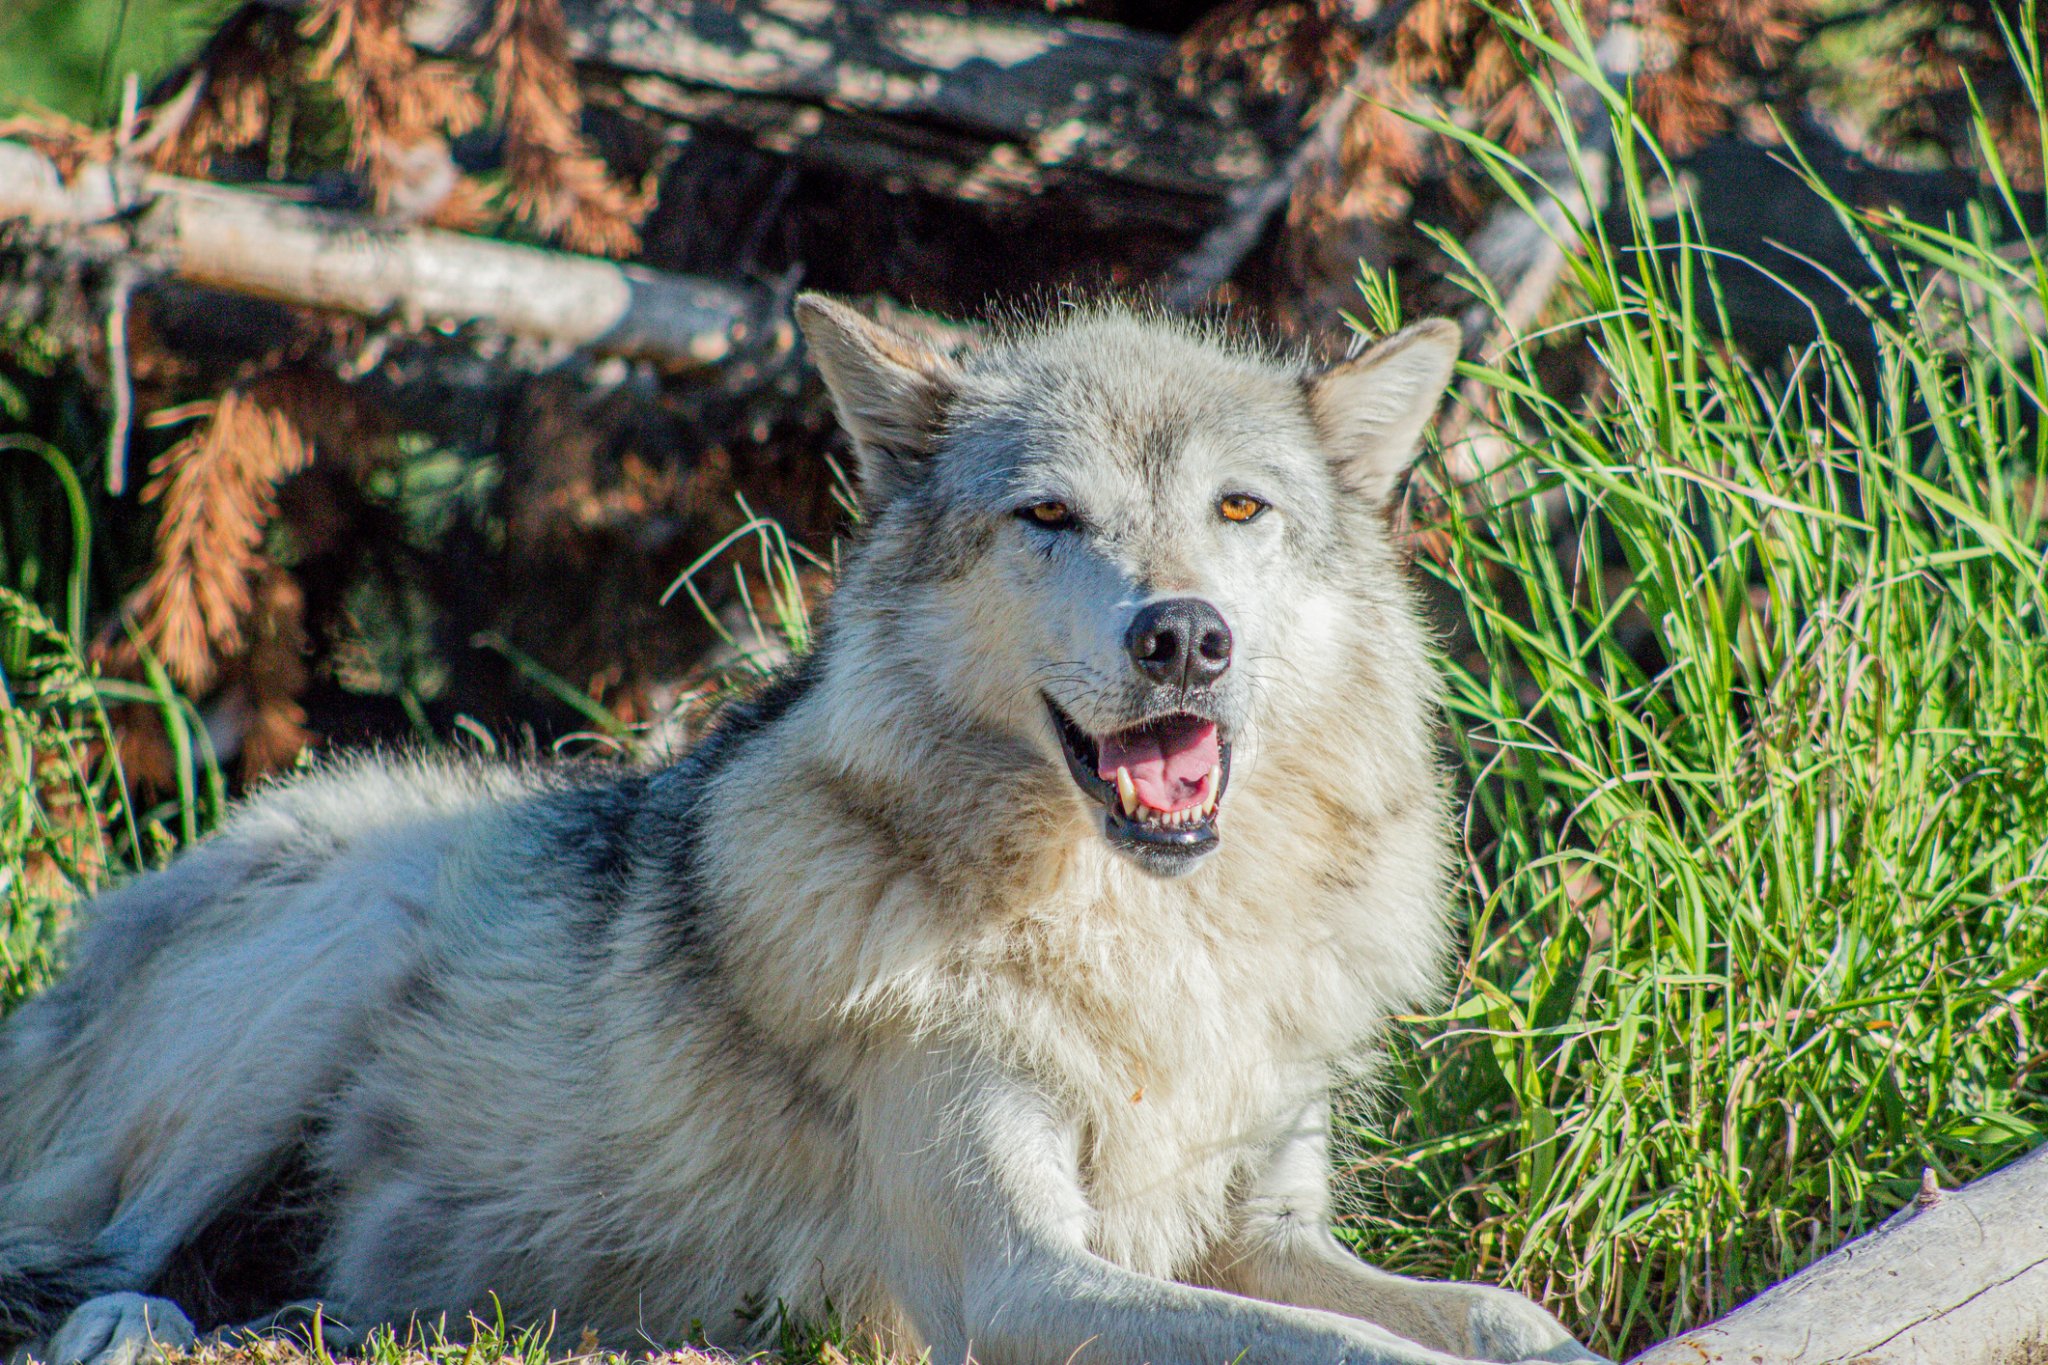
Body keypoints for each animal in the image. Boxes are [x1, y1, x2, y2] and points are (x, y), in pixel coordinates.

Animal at [0, 295, 1604, 1365]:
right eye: (1047, 516)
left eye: (1240, 509)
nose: (1183, 636)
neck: (1150, 935)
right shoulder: (1019, 1280)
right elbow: (1369, 1350)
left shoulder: (1259, 1230)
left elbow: (1503, 1316)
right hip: (354, 926)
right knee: (74, 1252)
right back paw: (135, 1322)